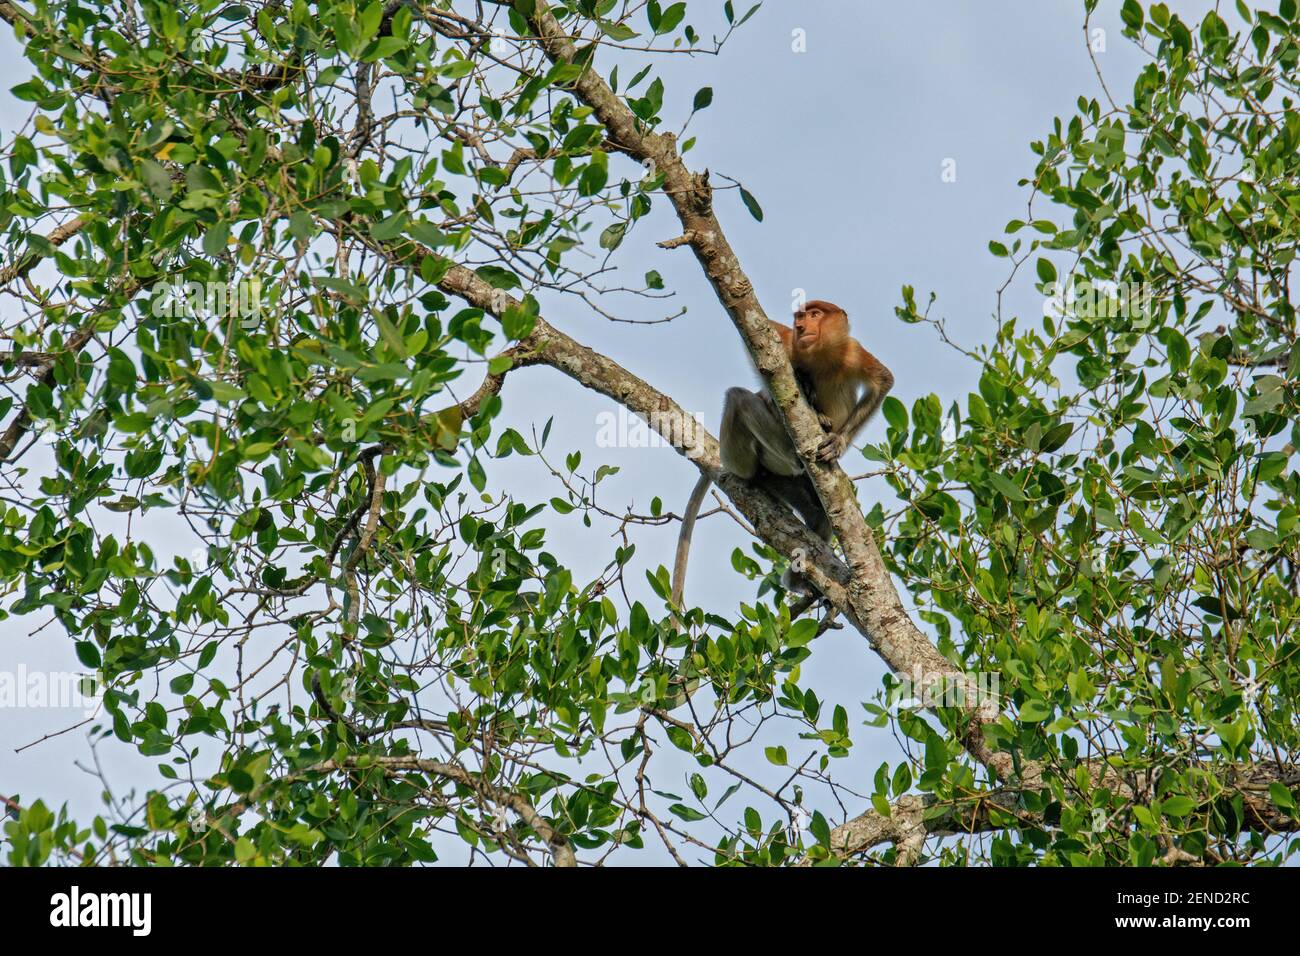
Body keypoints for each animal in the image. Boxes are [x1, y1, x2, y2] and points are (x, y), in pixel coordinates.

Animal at [671, 300, 893, 607]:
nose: (801, 326)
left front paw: (836, 441)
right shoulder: (789, 345)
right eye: (800, 316)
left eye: (815, 314)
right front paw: (802, 385)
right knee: (739, 398)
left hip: (792, 482)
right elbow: (764, 342)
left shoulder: (853, 350)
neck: (820, 354)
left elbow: (882, 381)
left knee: (820, 513)